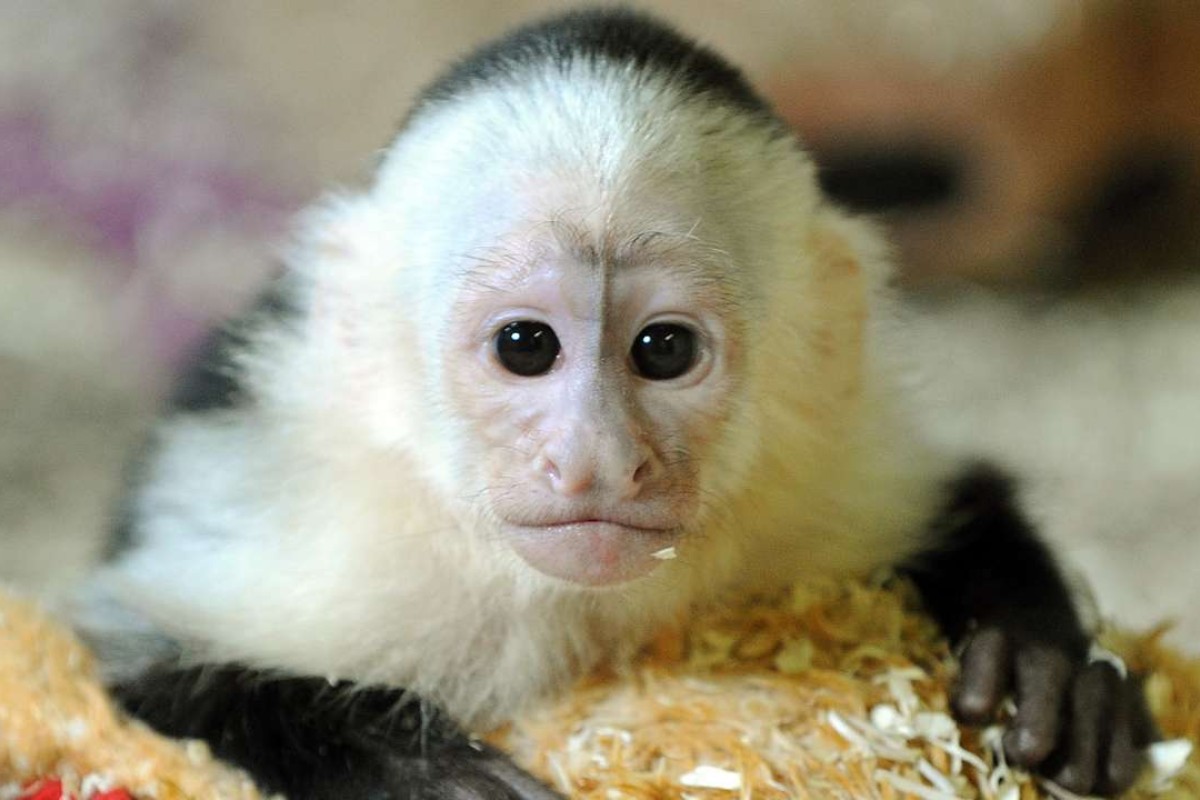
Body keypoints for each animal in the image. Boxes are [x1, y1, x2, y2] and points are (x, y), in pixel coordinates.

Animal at [69, 8, 1154, 799]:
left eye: (663, 349)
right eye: (526, 347)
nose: (595, 459)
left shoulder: (815, 482)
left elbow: (954, 496)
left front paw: (1040, 658)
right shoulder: (319, 534)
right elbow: (123, 664)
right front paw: (423, 772)